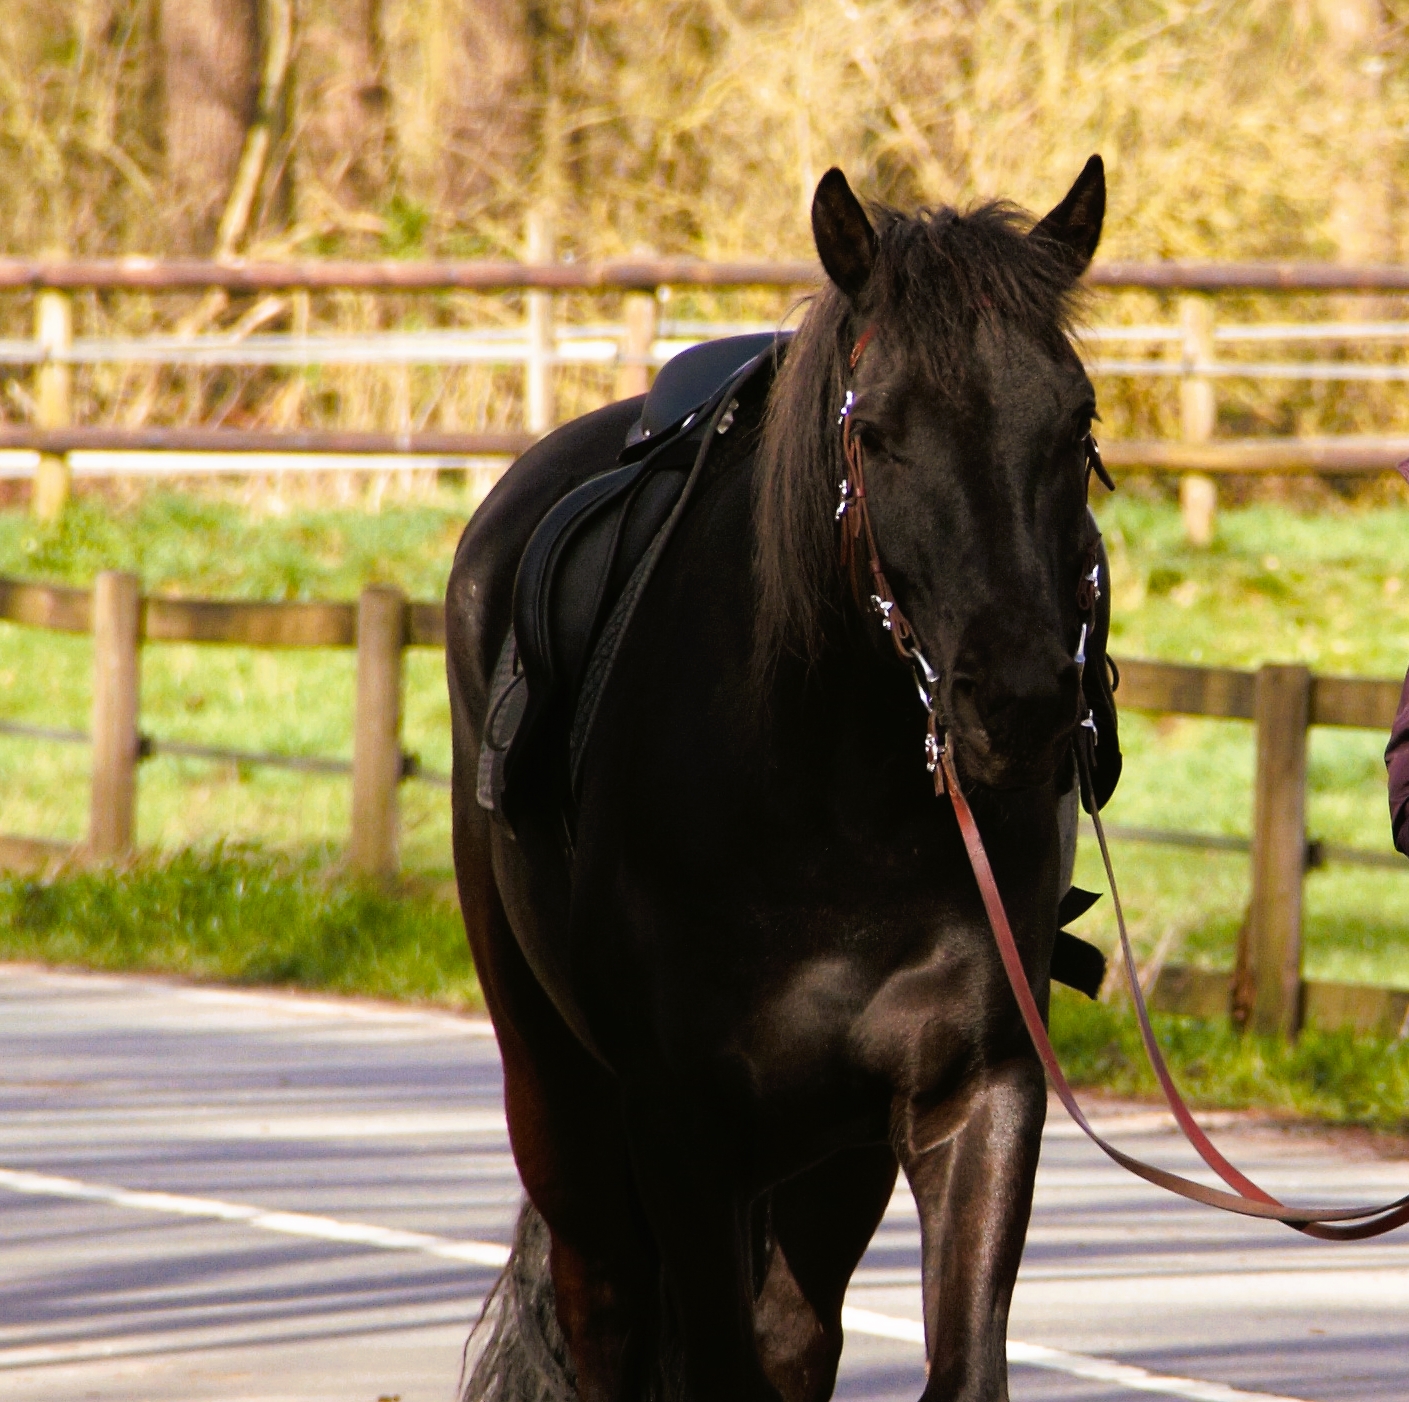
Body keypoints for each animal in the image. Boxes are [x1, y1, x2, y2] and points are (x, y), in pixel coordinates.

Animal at [447, 155, 1111, 1402]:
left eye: (1076, 419)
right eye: (878, 431)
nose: (1017, 703)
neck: (831, 810)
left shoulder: (973, 1095)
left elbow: (952, 1365)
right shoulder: (681, 1134)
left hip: (825, 1158)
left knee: (795, 1337)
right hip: (562, 1101)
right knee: (606, 1310)